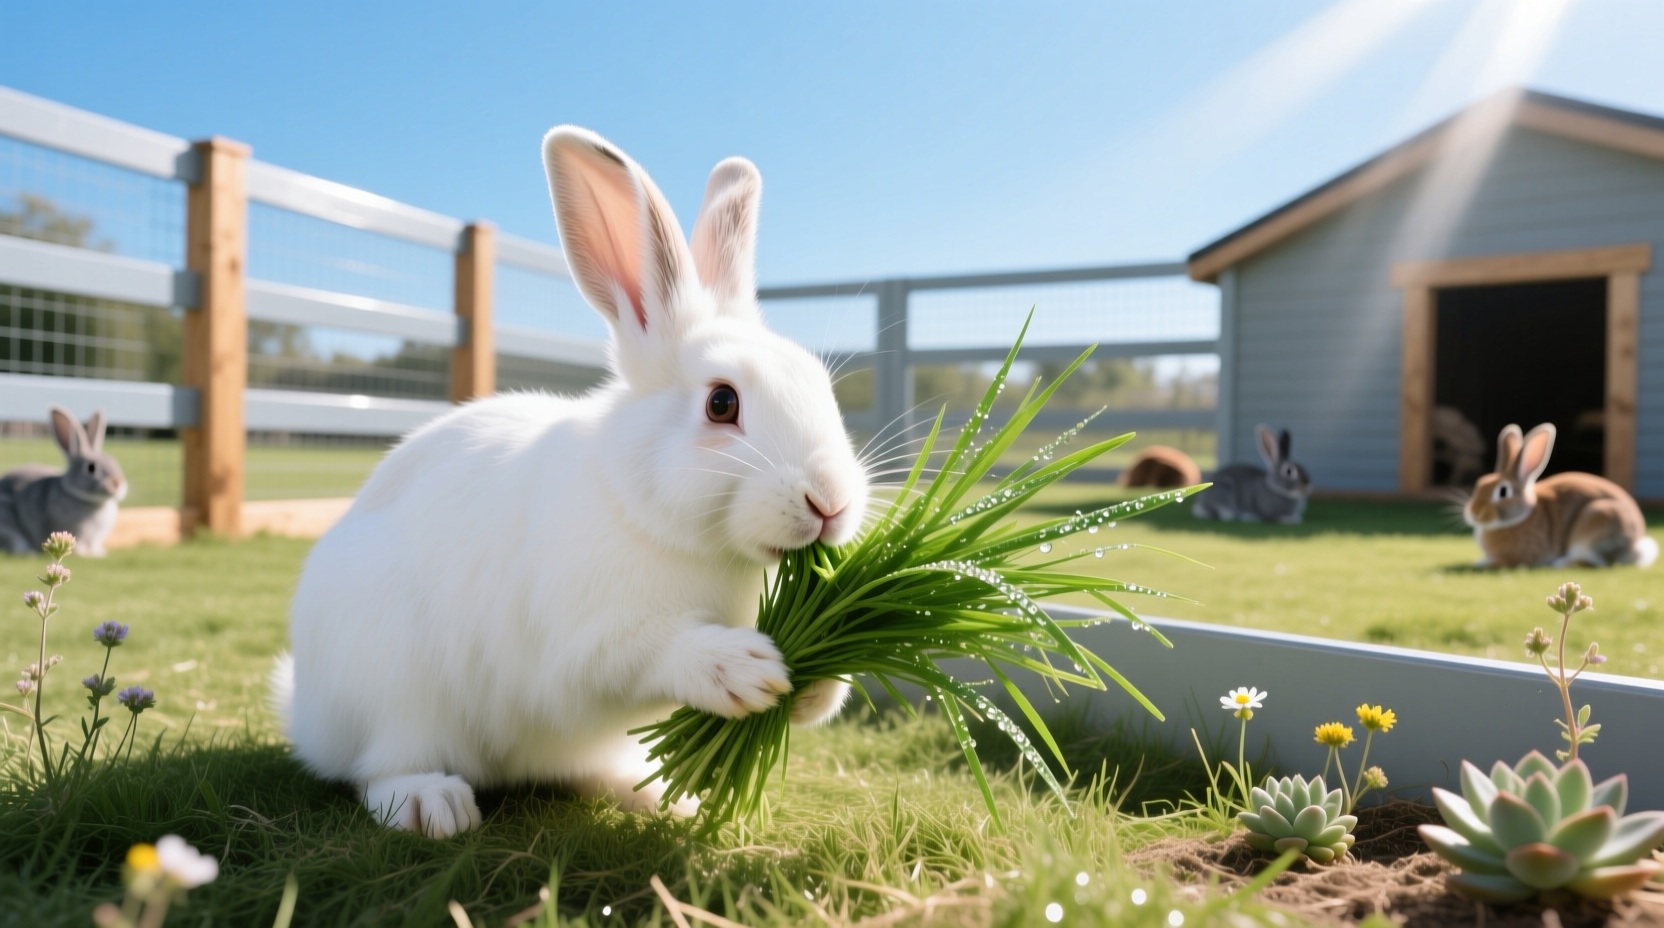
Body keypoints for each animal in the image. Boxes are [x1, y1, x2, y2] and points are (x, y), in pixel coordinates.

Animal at [0, 406, 127, 557]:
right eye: (91, 468)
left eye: (114, 461)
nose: (118, 484)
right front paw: (87, 555)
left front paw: (99, 553)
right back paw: (29, 552)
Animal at [273, 127, 870, 839]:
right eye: (722, 403)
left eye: (819, 382)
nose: (830, 500)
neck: (645, 512)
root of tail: (307, 716)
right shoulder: (579, 642)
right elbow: (646, 653)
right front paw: (744, 671)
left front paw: (821, 684)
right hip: (393, 687)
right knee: (379, 770)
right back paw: (433, 805)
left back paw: (659, 796)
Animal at [1464, 423, 1656, 569]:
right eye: (1480, 483)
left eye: (1503, 492)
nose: (1474, 512)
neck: (1524, 515)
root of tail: (1633, 548)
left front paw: (1481, 564)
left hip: (1594, 525)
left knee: (1597, 562)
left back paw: (1561, 563)